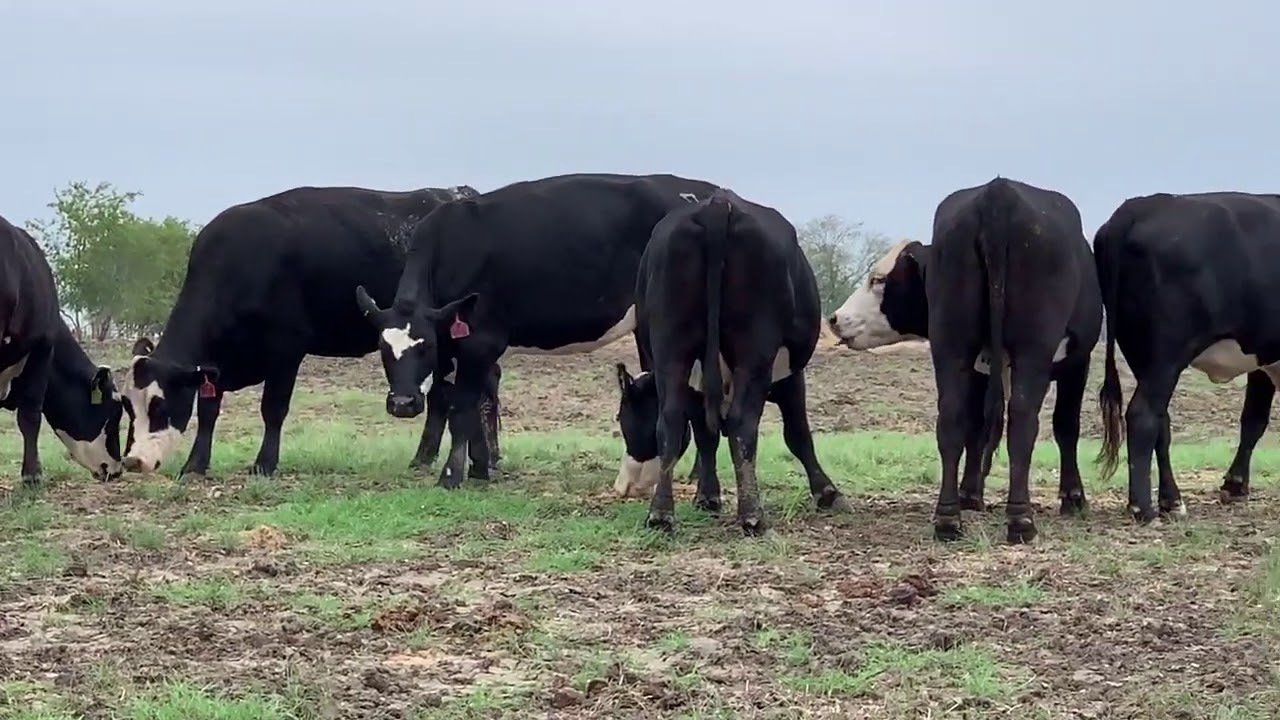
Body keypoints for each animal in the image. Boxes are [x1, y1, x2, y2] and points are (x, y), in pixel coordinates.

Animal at [120, 184, 503, 480]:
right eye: (128, 408)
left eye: (160, 406)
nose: (133, 461)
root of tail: (458, 193)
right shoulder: (215, 362)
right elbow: (209, 411)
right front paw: (195, 465)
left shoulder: (286, 348)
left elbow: (273, 408)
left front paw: (265, 464)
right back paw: (439, 458)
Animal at [354, 172, 725, 490]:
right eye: (383, 349)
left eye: (424, 346)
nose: (402, 404)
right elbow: (469, 404)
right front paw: (479, 468)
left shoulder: (479, 341)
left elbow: (463, 408)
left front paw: (451, 476)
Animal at [612, 188, 850, 535]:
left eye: (622, 417)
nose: (623, 487)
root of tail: (718, 204)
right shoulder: (792, 377)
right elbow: (797, 434)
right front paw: (828, 492)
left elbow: (703, 435)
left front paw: (707, 496)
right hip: (755, 350)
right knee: (742, 423)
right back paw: (752, 515)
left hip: (673, 347)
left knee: (670, 421)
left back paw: (661, 514)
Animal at [827, 176, 1102, 544]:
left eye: (878, 279)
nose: (834, 319)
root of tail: (998, 193)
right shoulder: (1076, 361)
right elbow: (1065, 426)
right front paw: (1073, 496)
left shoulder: (981, 369)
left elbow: (977, 427)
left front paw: (970, 494)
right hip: (1031, 350)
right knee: (1022, 421)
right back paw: (1020, 519)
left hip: (951, 346)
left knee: (952, 418)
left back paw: (948, 517)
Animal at [1093, 191, 1280, 523]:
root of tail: (1140, 205)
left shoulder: (1264, 358)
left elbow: (1253, 419)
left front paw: (1234, 486)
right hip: (1165, 358)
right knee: (1142, 415)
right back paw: (1143, 507)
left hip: (1144, 357)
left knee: (1161, 421)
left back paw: (1172, 500)